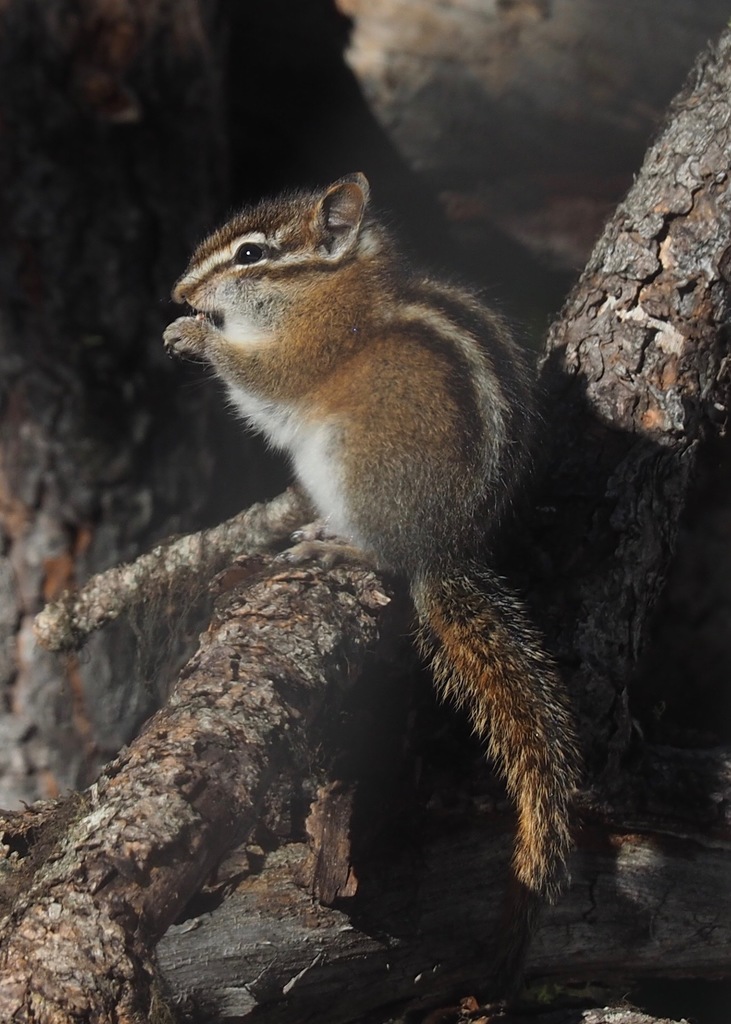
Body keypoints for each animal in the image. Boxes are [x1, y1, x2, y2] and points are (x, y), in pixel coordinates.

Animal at [163, 172, 581, 994]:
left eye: (251, 255)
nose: (178, 290)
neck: (333, 287)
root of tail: (440, 552)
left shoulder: (302, 351)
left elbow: (262, 379)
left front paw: (193, 335)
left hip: (351, 465)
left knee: (384, 561)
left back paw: (337, 549)